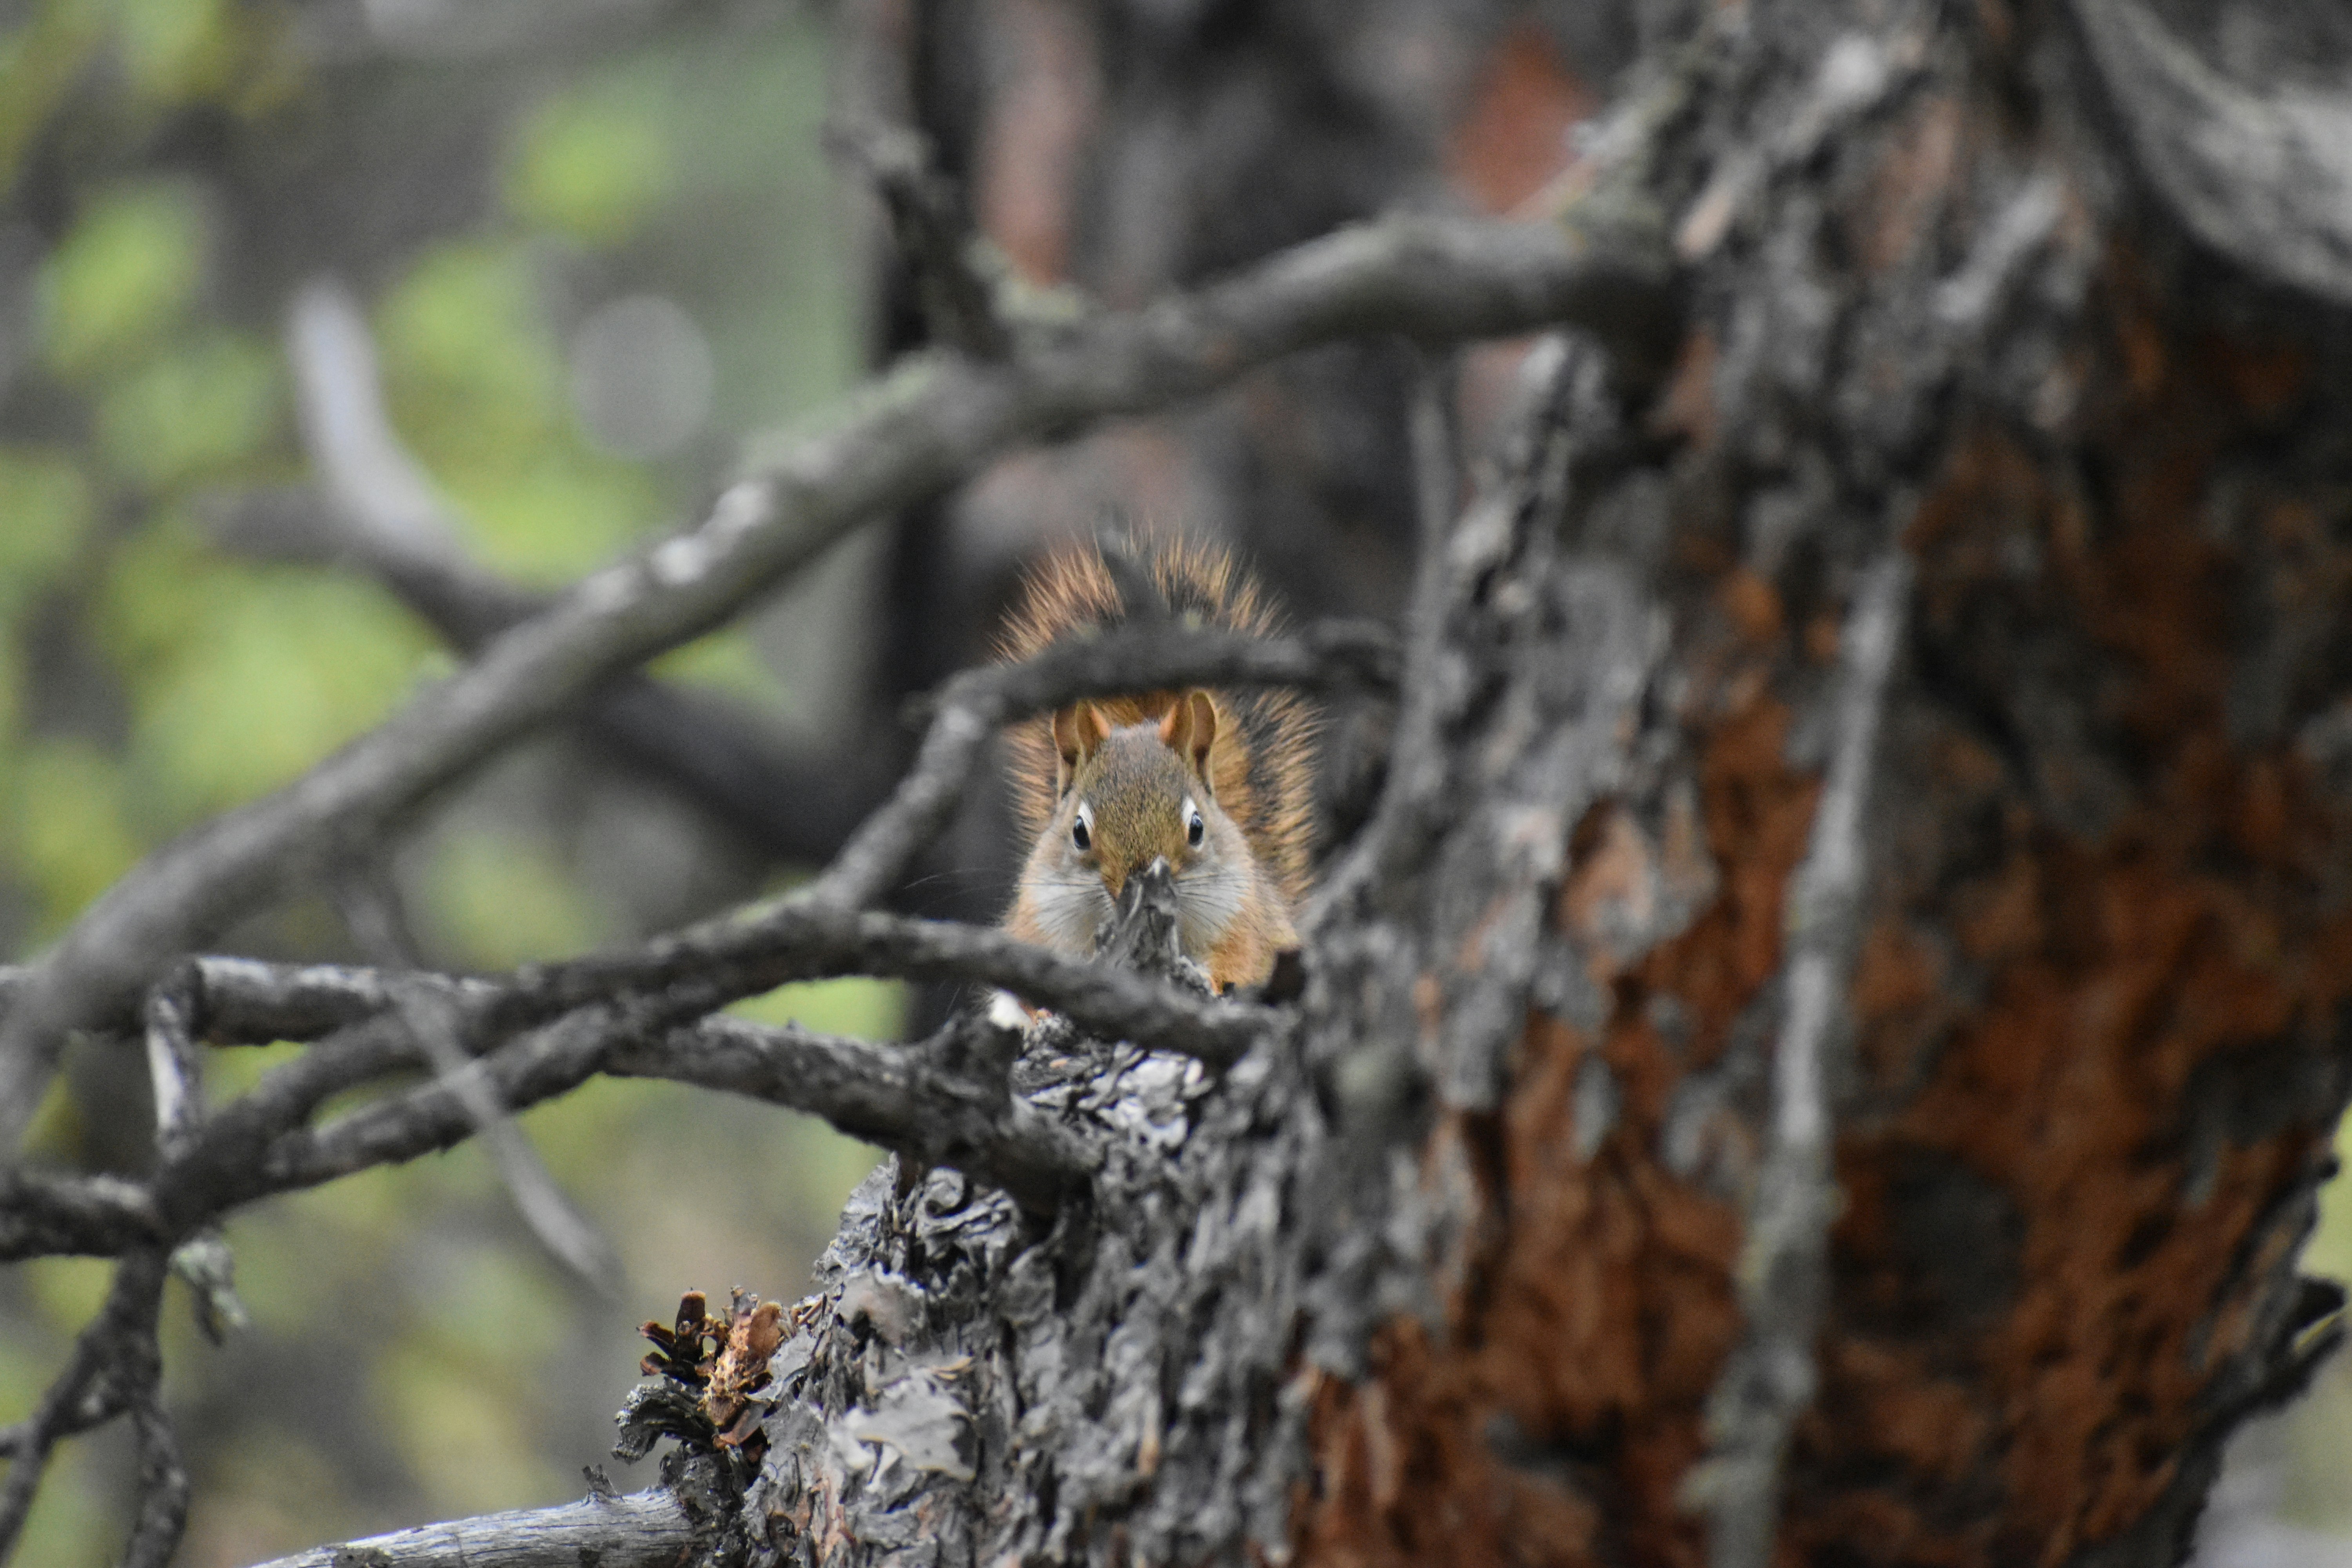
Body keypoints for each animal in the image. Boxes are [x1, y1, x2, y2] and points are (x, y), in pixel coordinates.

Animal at [998, 537, 1316, 994]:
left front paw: (1209, 980)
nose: (1134, 893)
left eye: (1197, 828)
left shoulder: (1246, 923)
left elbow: (1240, 964)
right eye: (1078, 833)